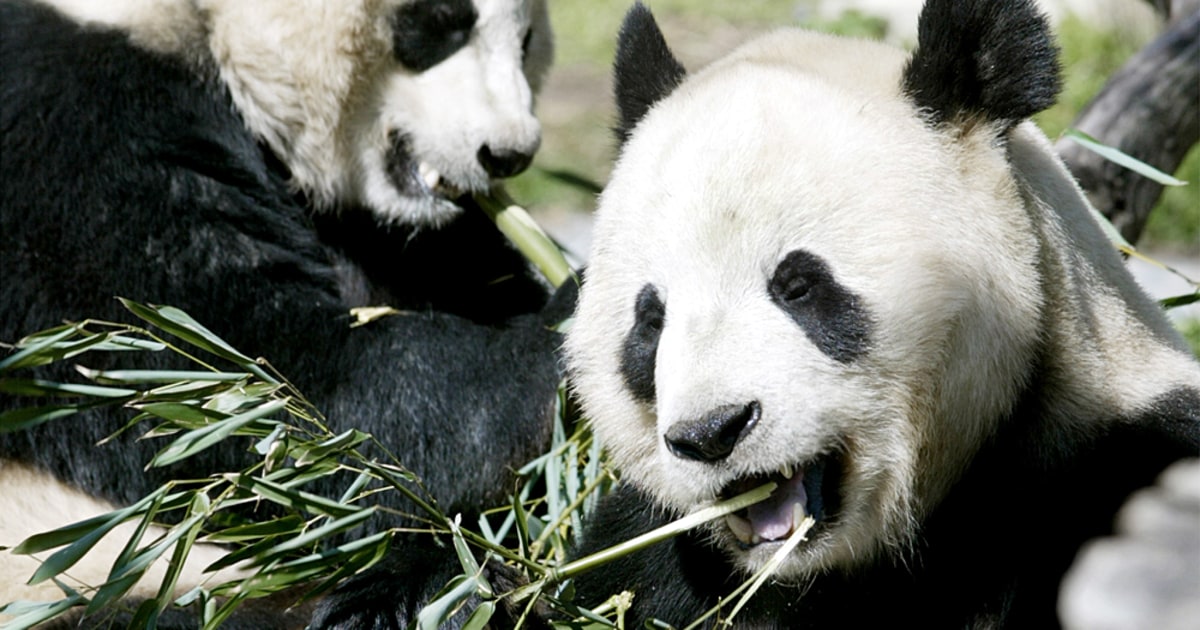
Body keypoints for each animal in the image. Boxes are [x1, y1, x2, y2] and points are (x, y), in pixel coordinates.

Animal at [0, 0, 571, 627]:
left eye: (526, 41)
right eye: (440, 23)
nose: (508, 154)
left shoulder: (406, 240)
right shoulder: (67, 141)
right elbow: (282, 396)